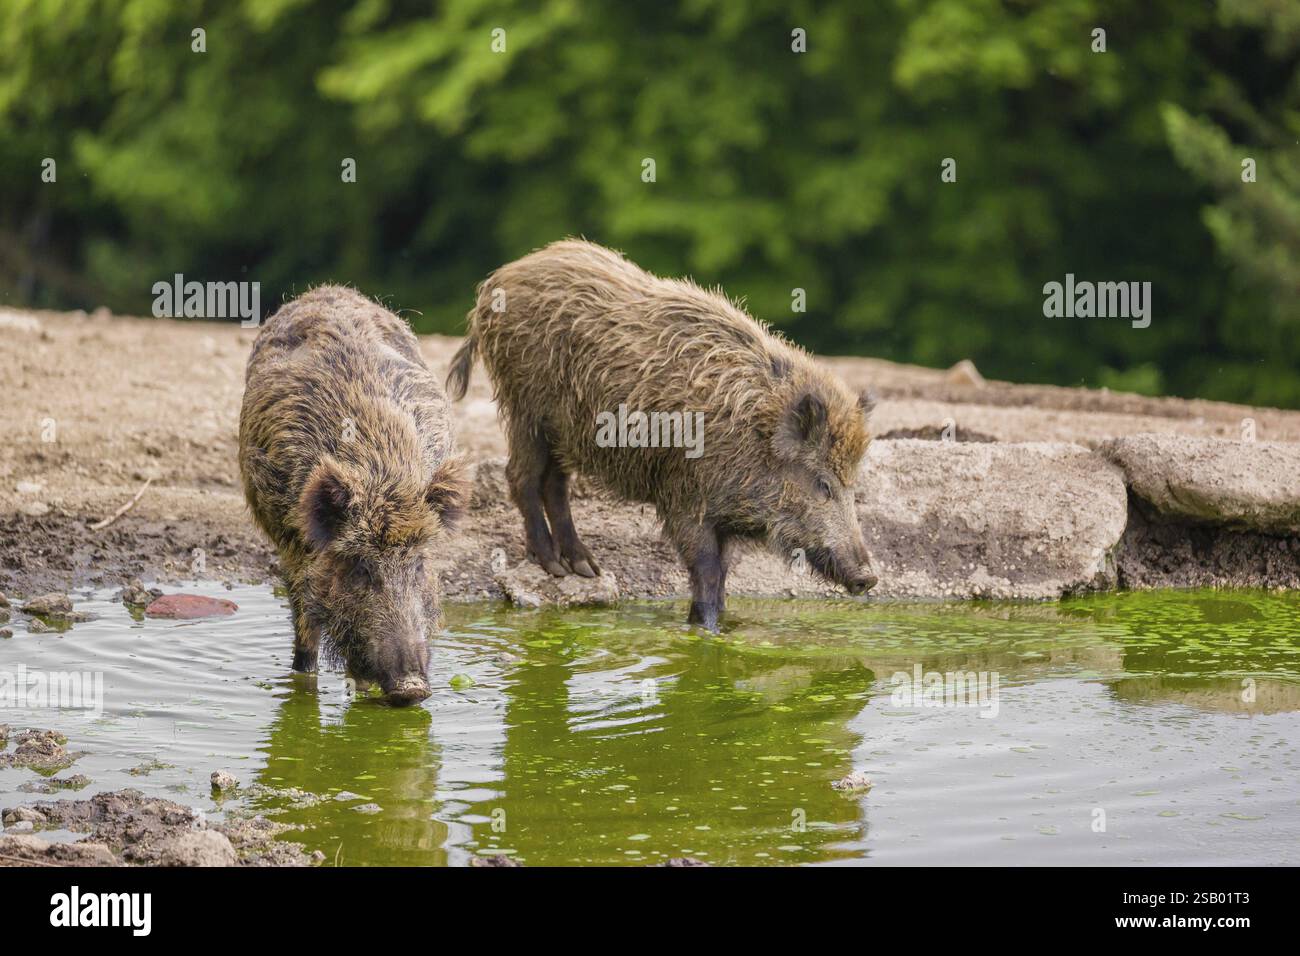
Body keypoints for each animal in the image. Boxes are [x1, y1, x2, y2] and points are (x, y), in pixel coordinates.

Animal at [239, 285, 466, 704]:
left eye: (419, 567)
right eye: (361, 568)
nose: (412, 687)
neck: (383, 477)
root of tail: (329, 290)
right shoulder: (296, 553)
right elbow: (309, 631)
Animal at [446, 240, 876, 630]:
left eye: (853, 485)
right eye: (822, 484)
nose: (868, 578)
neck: (752, 437)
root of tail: (499, 280)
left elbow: (722, 575)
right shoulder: (684, 498)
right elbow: (705, 571)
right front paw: (705, 629)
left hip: (563, 432)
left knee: (555, 483)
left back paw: (585, 569)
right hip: (525, 410)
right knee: (521, 477)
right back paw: (553, 567)